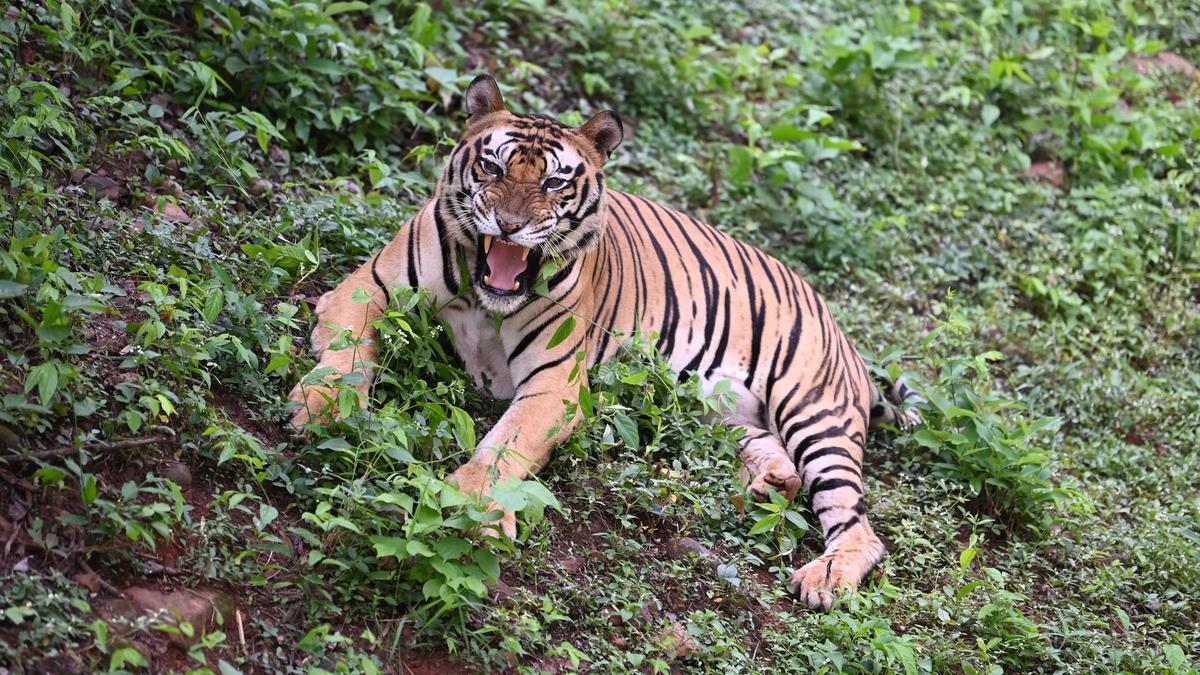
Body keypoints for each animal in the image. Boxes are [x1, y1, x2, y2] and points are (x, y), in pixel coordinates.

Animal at [288, 74, 914, 610]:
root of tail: (842, 330)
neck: (487, 299)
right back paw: (768, 485)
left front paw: (471, 507)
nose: (509, 225)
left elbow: (503, 445)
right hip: (725, 412)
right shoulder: (364, 289)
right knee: (773, 455)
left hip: (815, 412)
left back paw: (825, 577)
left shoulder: (554, 383)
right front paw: (321, 409)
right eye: (491, 167)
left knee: (859, 524)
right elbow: (347, 355)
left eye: (554, 182)